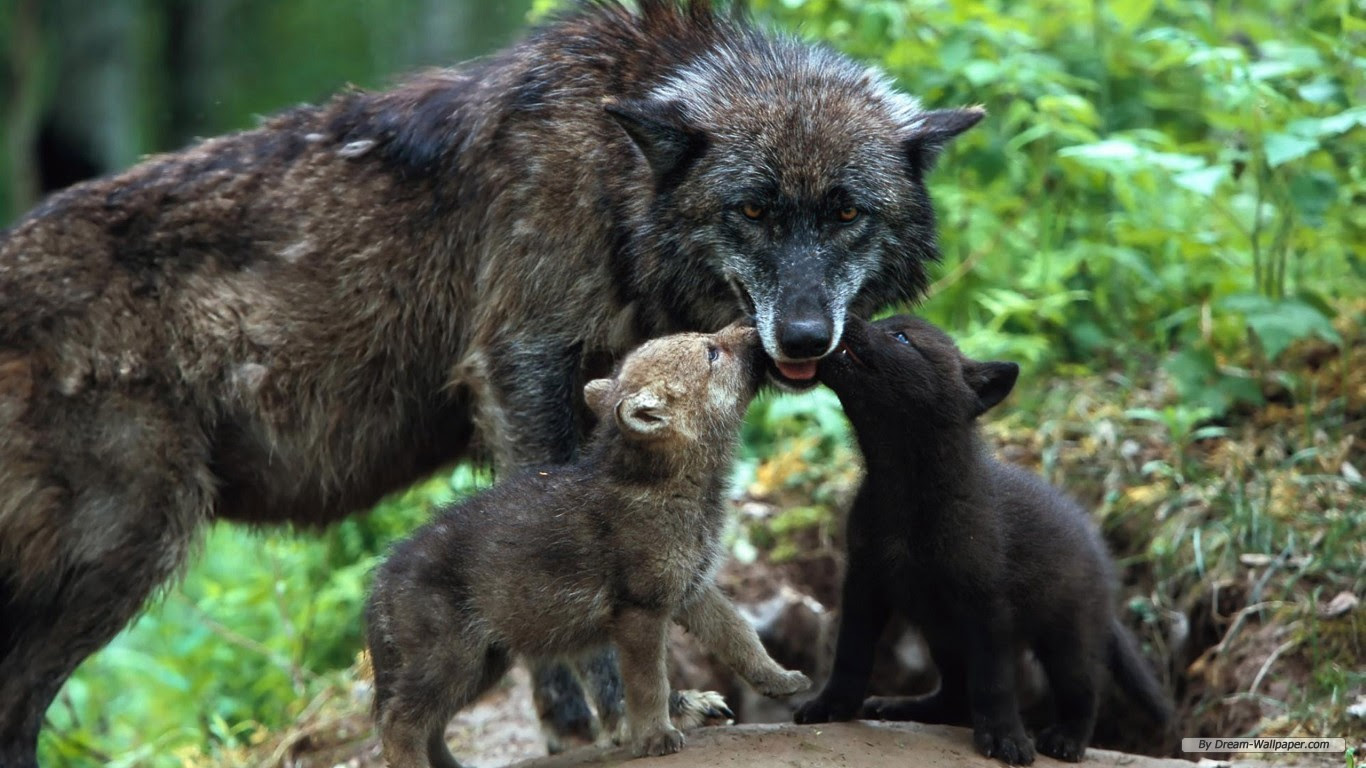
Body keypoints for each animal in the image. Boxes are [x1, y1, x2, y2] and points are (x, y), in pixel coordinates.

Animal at [0, 2, 981, 763]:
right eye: (752, 210)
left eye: (846, 213)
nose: (808, 335)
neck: (612, 180)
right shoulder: (524, 369)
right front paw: (626, 713)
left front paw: (576, 720)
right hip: (126, 548)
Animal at [792, 316, 1173, 764]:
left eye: (901, 336)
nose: (844, 318)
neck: (905, 491)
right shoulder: (864, 581)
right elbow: (850, 655)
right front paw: (831, 706)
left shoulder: (986, 603)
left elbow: (995, 682)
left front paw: (1006, 737)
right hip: (943, 633)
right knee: (955, 695)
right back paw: (902, 707)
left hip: (1069, 636)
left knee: (1083, 691)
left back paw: (1066, 740)